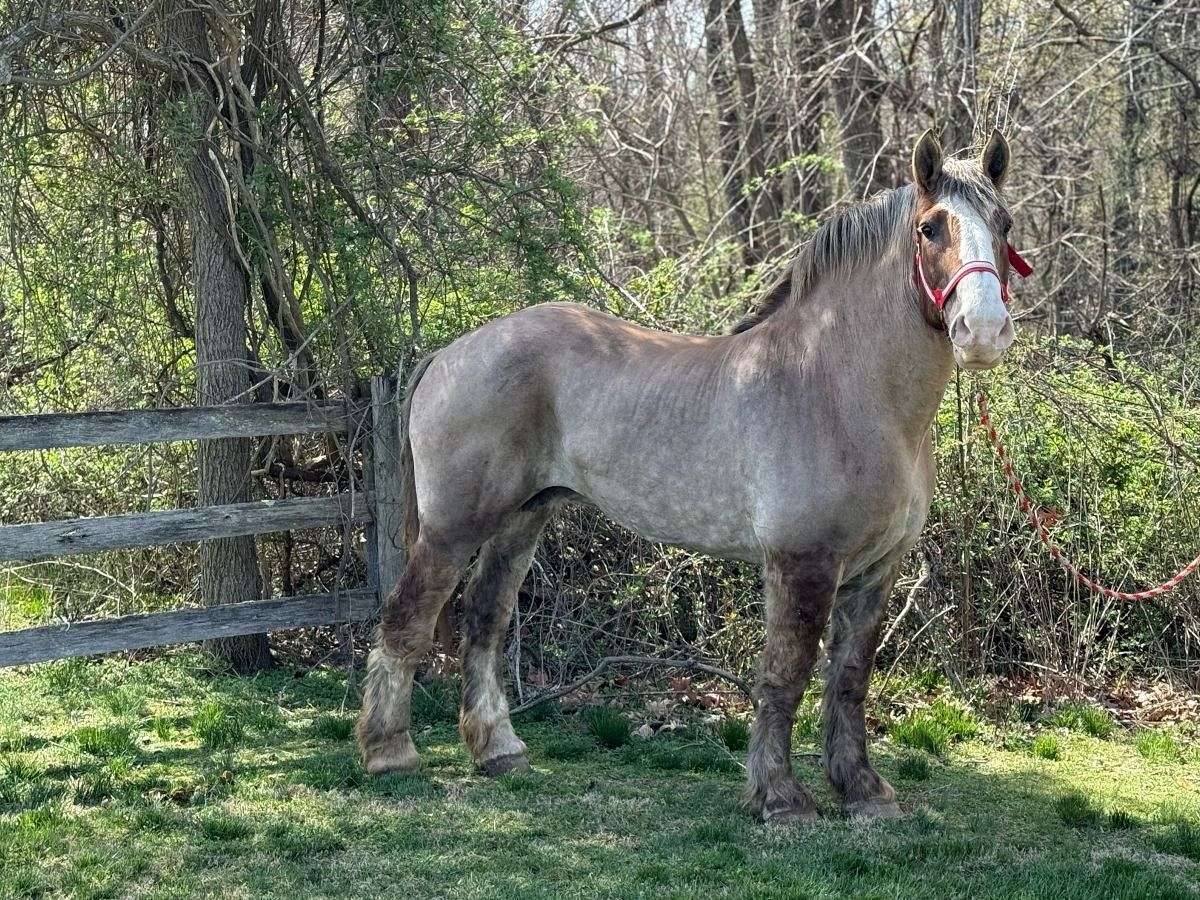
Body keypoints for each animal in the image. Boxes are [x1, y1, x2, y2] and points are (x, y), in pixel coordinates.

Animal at [355, 129, 1024, 823]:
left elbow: (848, 679)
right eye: (929, 228)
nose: (983, 330)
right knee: (405, 621)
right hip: (453, 528)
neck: (840, 386)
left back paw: (498, 749)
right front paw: (781, 797)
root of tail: (452, 352)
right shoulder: (803, 562)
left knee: (484, 621)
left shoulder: (875, 571)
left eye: (1004, 223)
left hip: (522, 520)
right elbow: (785, 675)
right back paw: (389, 753)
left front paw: (863, 791)